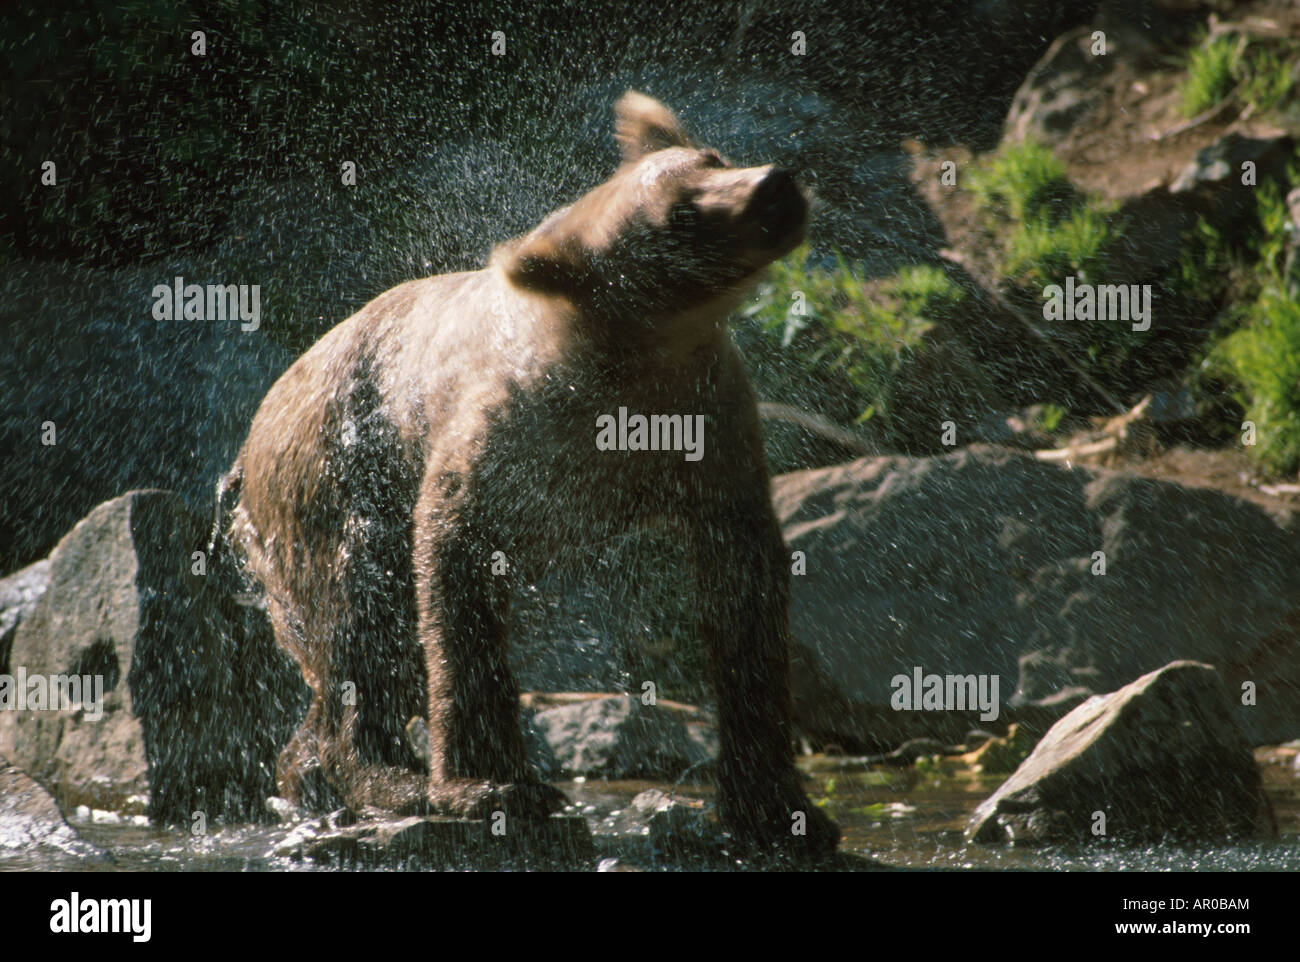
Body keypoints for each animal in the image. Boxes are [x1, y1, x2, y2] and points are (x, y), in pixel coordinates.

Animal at [222, 90, 839, 855]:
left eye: (711, 158)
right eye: (680, 218)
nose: (773, 186)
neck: (631, 364)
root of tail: (248, 443)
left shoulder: (714, 432)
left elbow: (744, 593)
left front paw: (782, 809)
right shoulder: (507, 435)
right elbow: (452, 569)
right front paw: (494, 785)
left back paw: (310, 777)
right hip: (332, 482)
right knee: (361, 623)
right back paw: (384, 777)